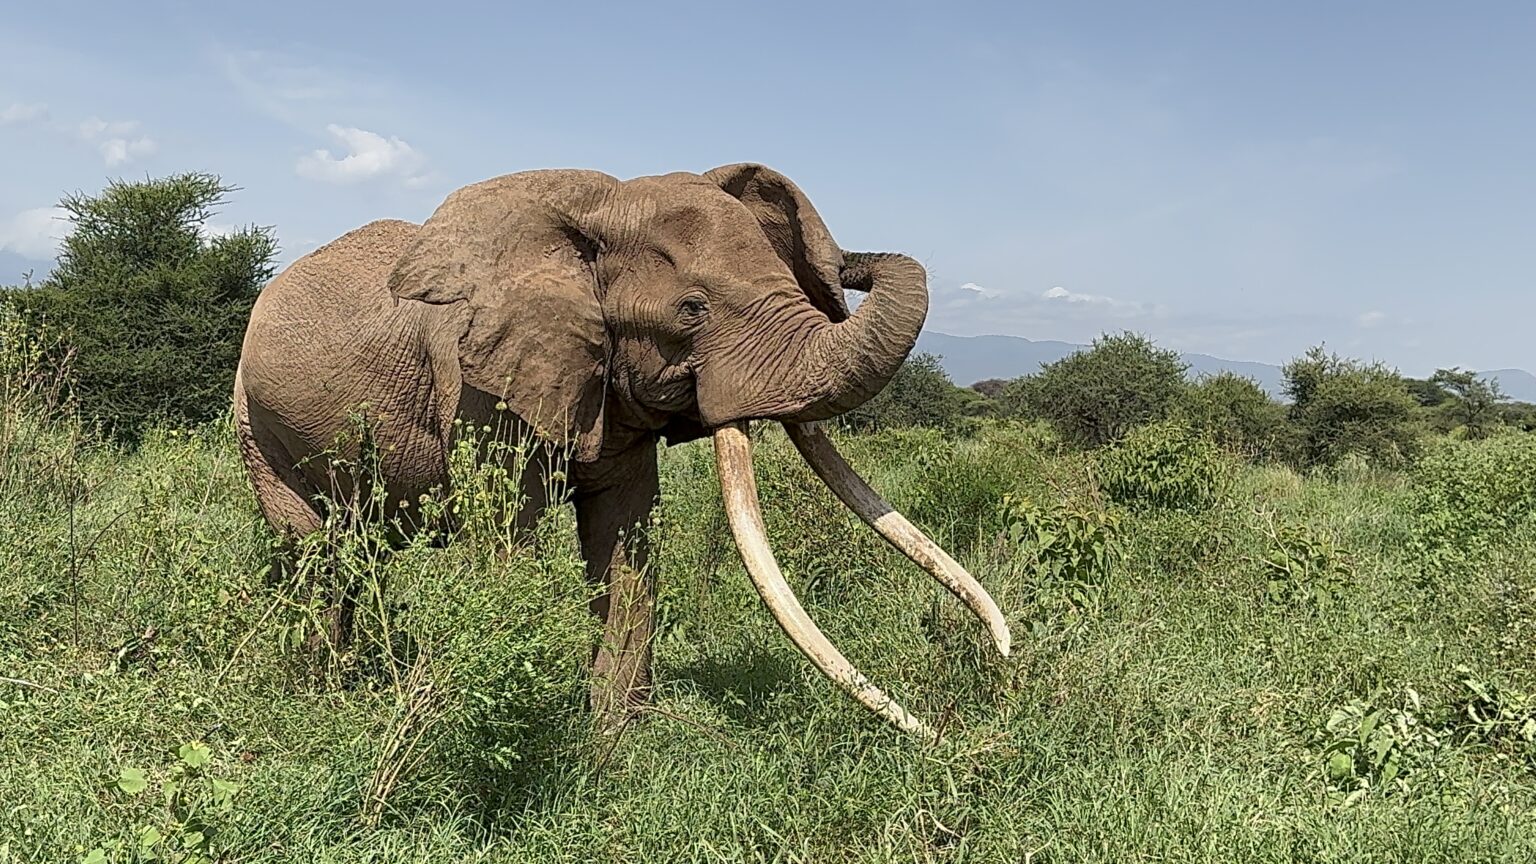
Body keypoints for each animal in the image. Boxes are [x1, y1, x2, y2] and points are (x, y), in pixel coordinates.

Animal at [233, 163, 1009, 736]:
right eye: (692, 310)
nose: (992, 677)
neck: (601, 208)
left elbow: (626, 537)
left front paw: (613, 742)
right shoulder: (476, 379)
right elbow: (504, 539)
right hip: (256, 423)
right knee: (312, 550)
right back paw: (322, 690)